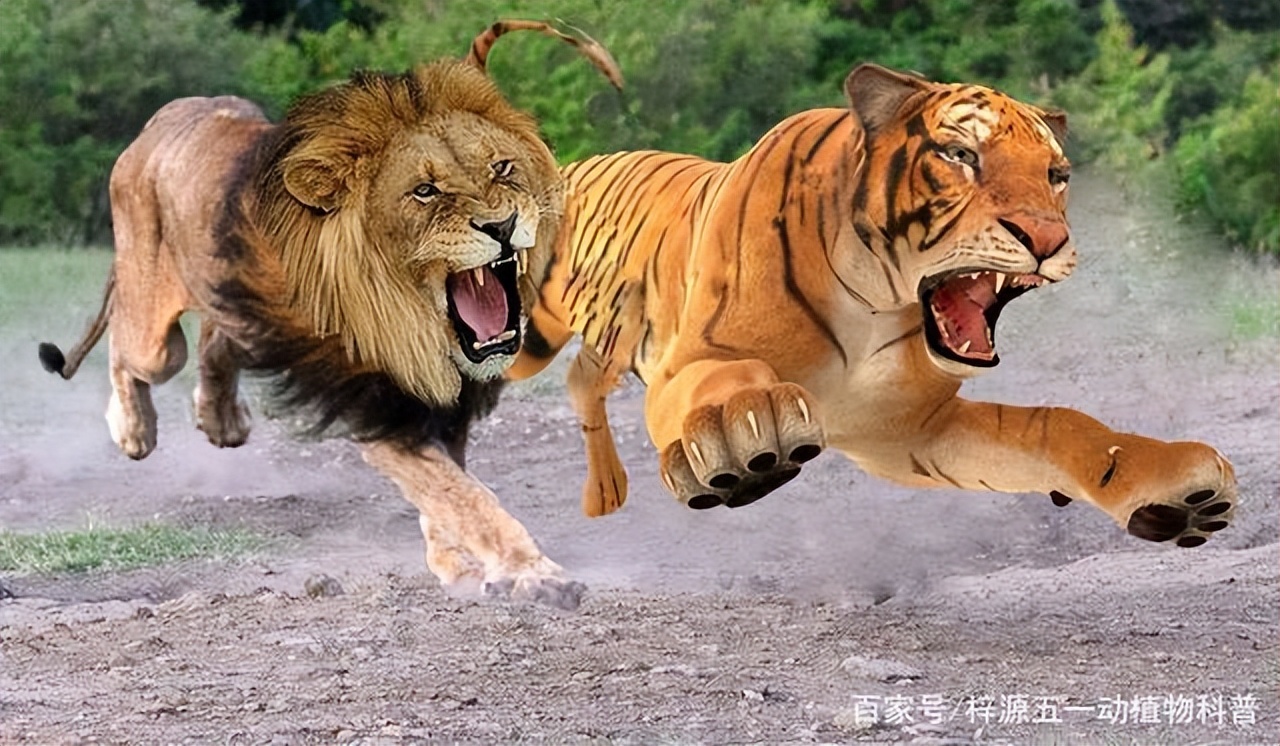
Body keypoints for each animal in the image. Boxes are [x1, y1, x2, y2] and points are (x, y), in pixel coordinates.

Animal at [38, 21, 622, 609]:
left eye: (502, 168)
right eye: (425, 191)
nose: (502, 226)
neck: (423, 323)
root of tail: (164, 118)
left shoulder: (443, 402)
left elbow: (452, 489)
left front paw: (457, 565)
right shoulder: (377, 402)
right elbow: (463, 497)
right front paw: (533, 573)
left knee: (219, 336)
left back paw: (222, 420)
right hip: (153, 327)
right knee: (132, 346)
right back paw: (133, 430)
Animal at [508, 63, 1238, 549]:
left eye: (1056, 176)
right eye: (960, 155)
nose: (1048, 238)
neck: (876, 300)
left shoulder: (909, 428)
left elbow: (1058, 424)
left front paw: (1174, 489)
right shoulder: (694, 357)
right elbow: (723, 386)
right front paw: (744, 437)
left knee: (582, 379)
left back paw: (606, 495)